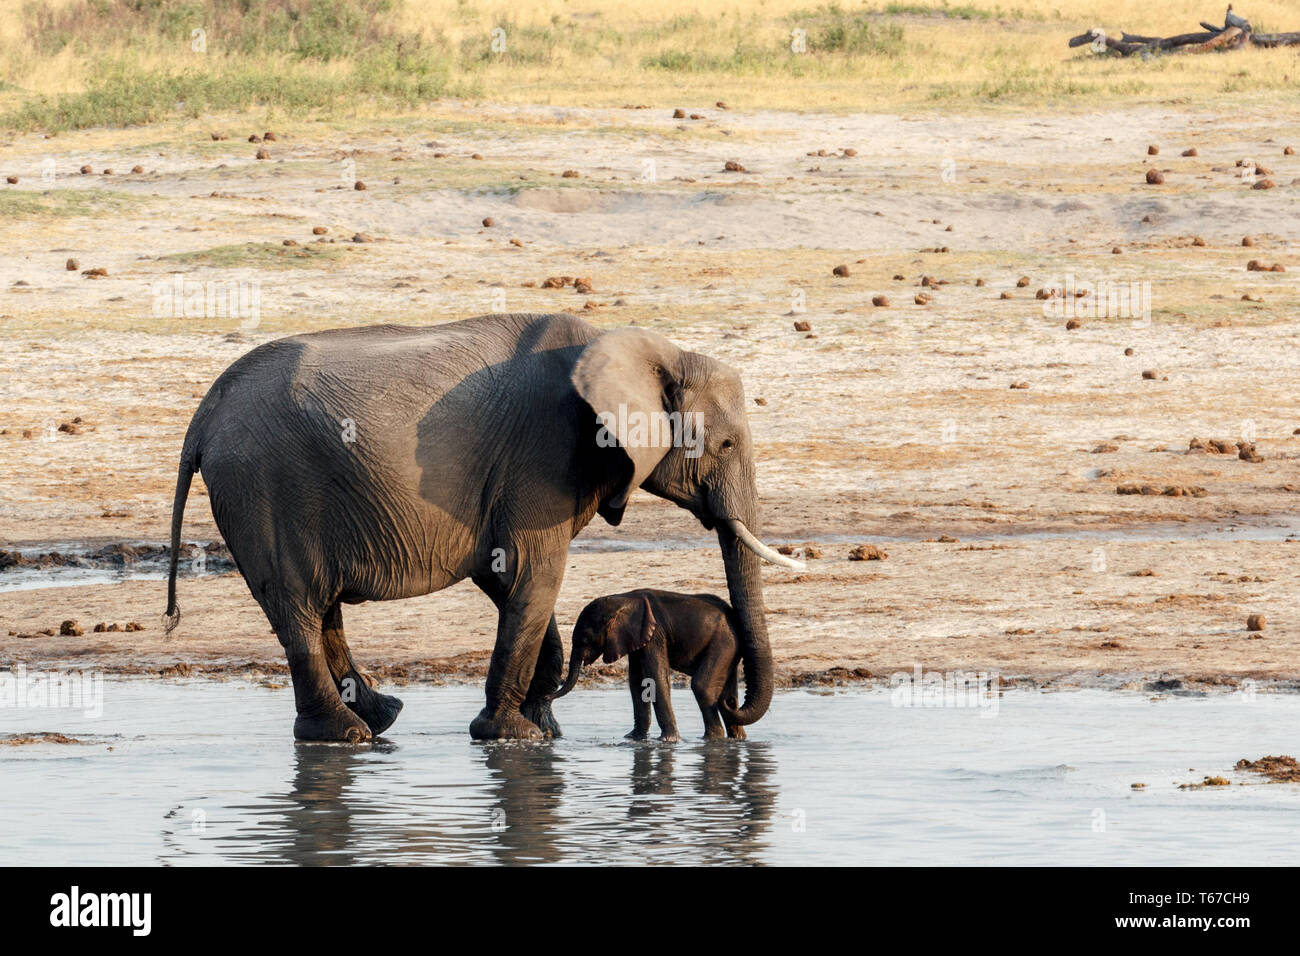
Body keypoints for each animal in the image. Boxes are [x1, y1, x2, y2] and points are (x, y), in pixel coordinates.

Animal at [550, 589, 748, 741]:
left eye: (585, 639)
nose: (547, 697)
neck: (623, 599)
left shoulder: (654, 634)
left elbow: (655, 676)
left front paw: (668, 741)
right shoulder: (636, 638)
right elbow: (637, 681)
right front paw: (633, 738)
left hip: (724, 642)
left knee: (702, 686)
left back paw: (712, 739)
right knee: (727, 695)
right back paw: (736, 738)